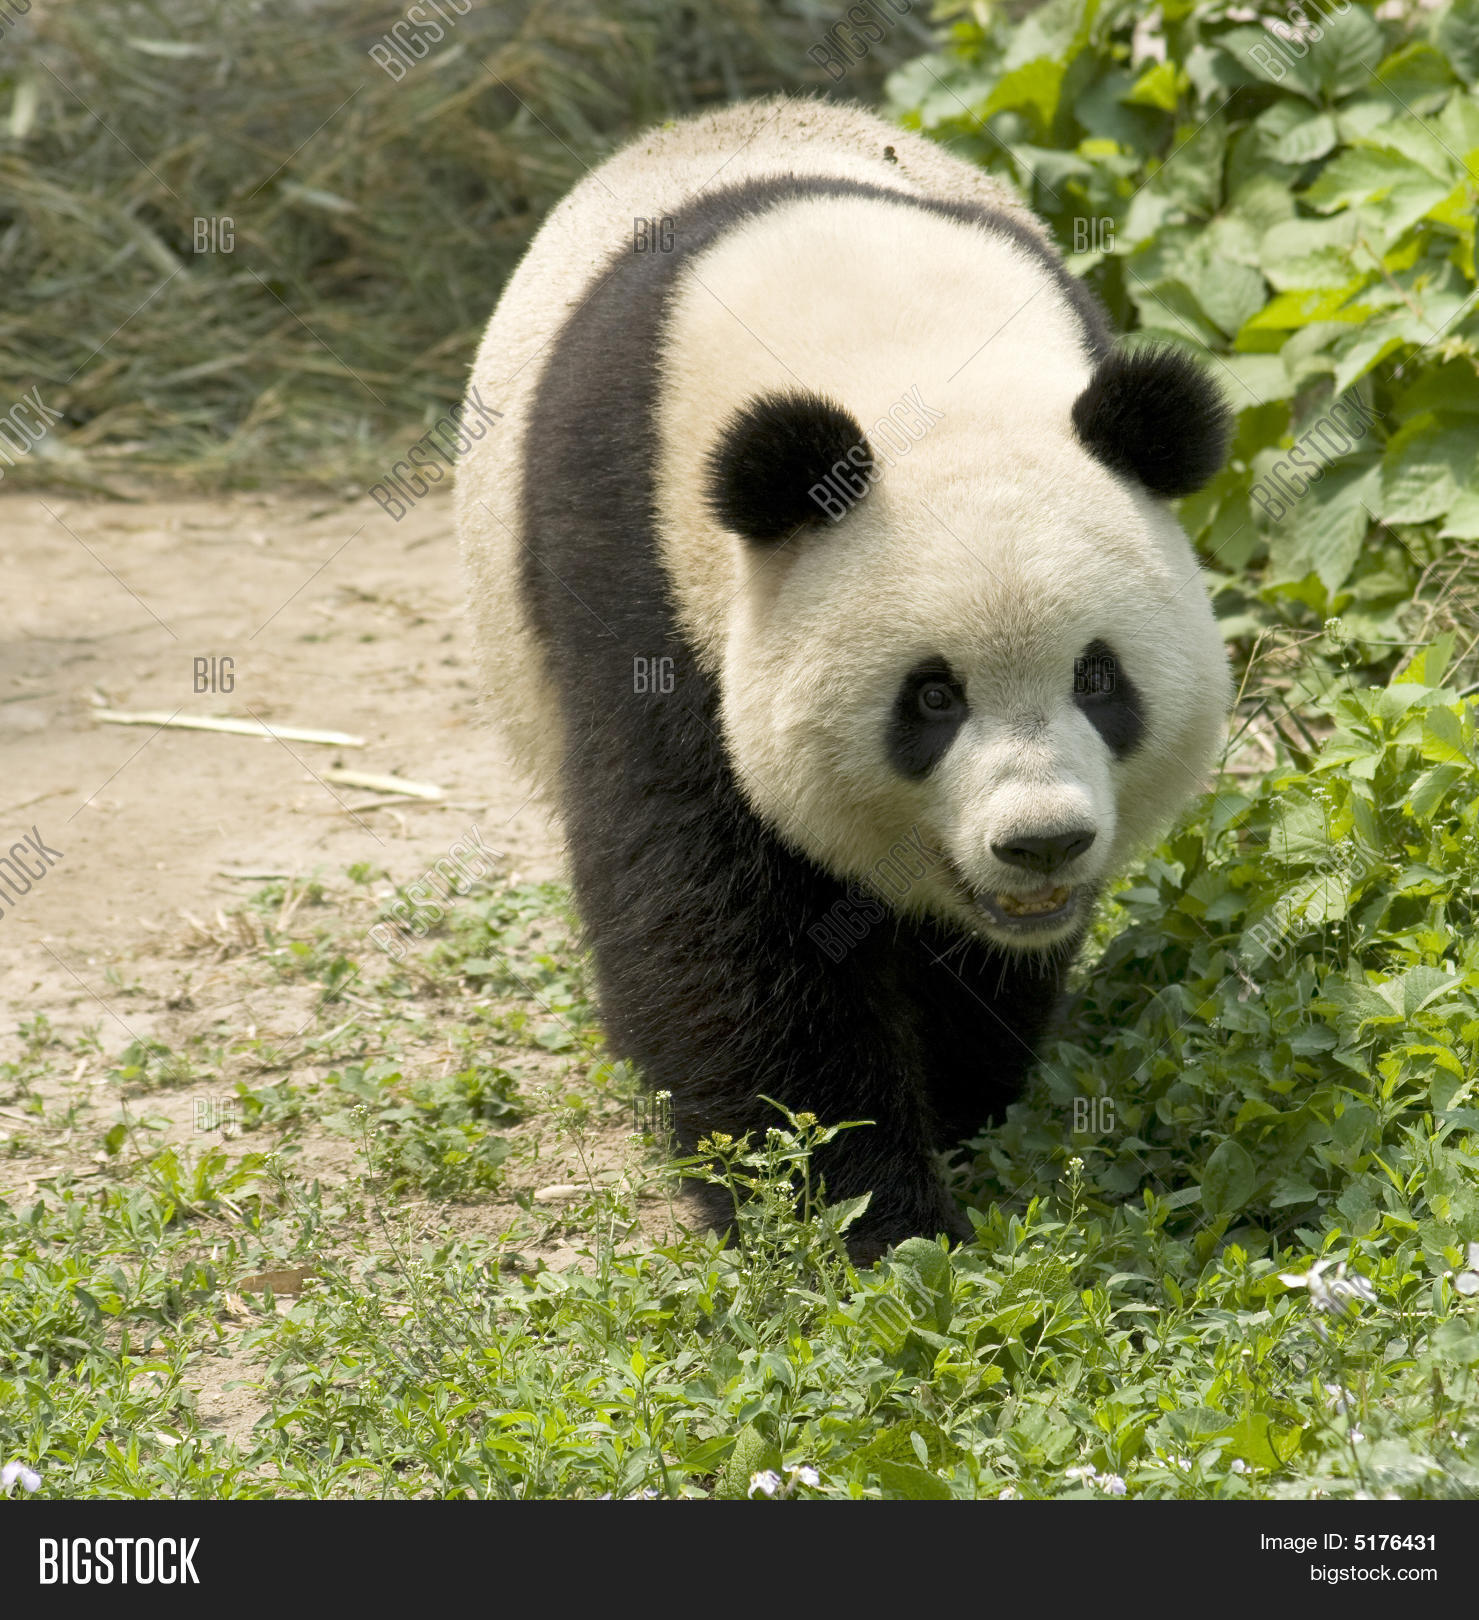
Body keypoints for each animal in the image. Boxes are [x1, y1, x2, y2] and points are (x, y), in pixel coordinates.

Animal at [455, 96, 1233, 1260]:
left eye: (1100, 680)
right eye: (931, 697)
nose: (1041, 841)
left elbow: (972, 961)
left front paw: (961, 1112)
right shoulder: (639, 574)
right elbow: (717, 919)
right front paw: (866, 1219)